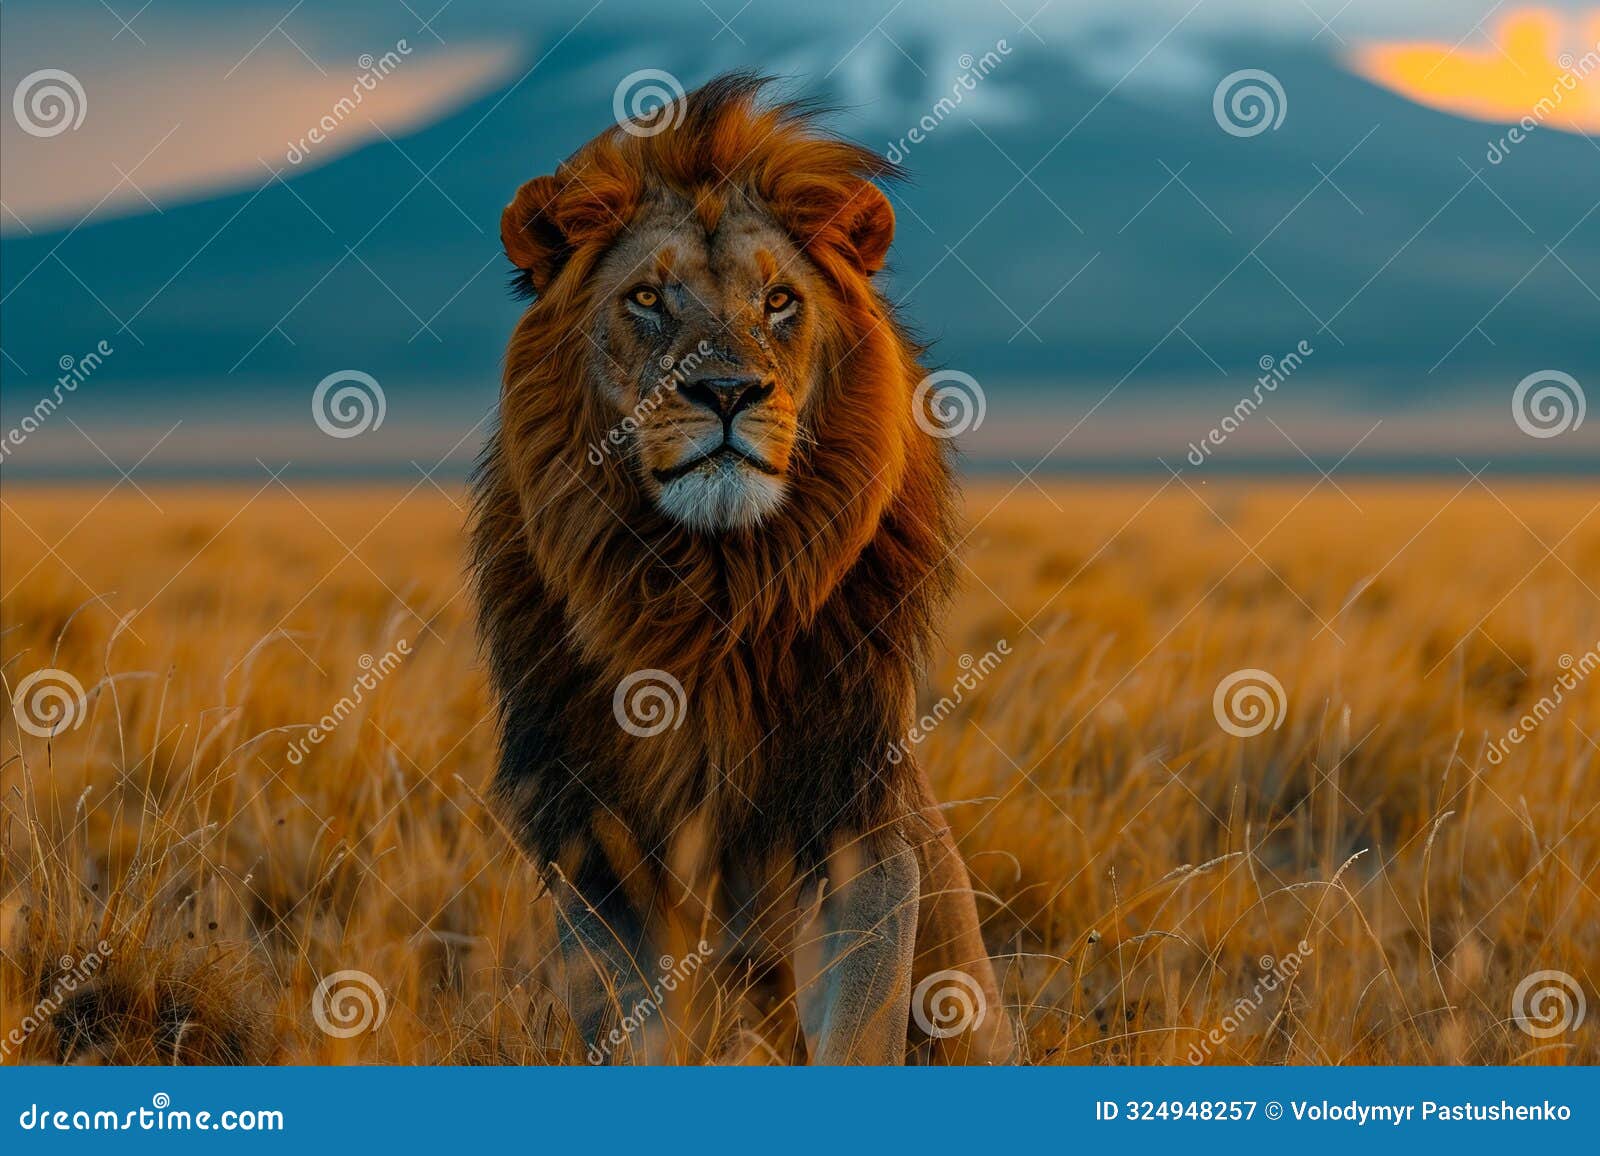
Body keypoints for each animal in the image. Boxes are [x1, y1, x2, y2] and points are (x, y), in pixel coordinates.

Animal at [469, 72, 1016, 1065]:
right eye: (649, 298)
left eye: (779, 301)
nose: (726, 390)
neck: (710, 601)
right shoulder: (600, 859)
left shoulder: (859, 826)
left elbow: (857, 1033)